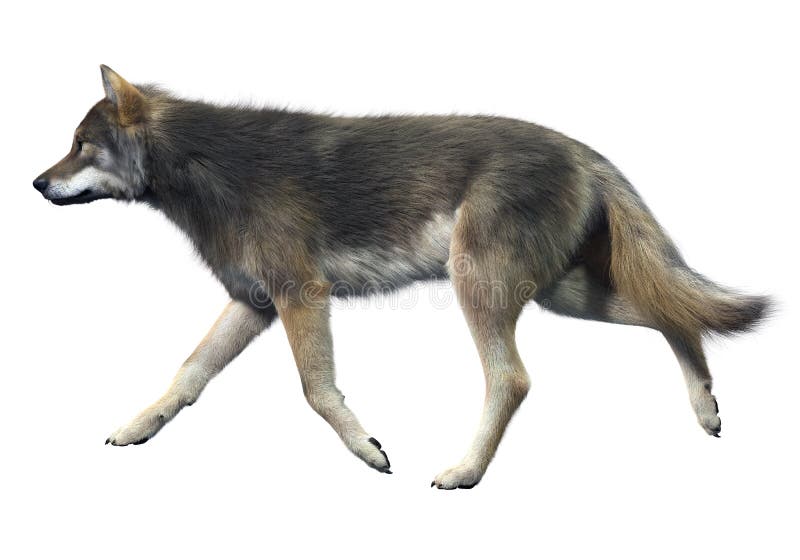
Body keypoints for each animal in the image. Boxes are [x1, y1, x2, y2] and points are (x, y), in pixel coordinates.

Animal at [33, 66, 770, 489]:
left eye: (80, 145)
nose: (36, 183)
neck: (207, 166)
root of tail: (583, 151)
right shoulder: (256, 303)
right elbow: (187, 376)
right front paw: (137, 429)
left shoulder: (302, 296)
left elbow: (315, 391)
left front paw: (369, 451)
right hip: (563, 295)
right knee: (676, 314)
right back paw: (706, 409)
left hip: (484, 289)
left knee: (514, 379)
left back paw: (466, 473)